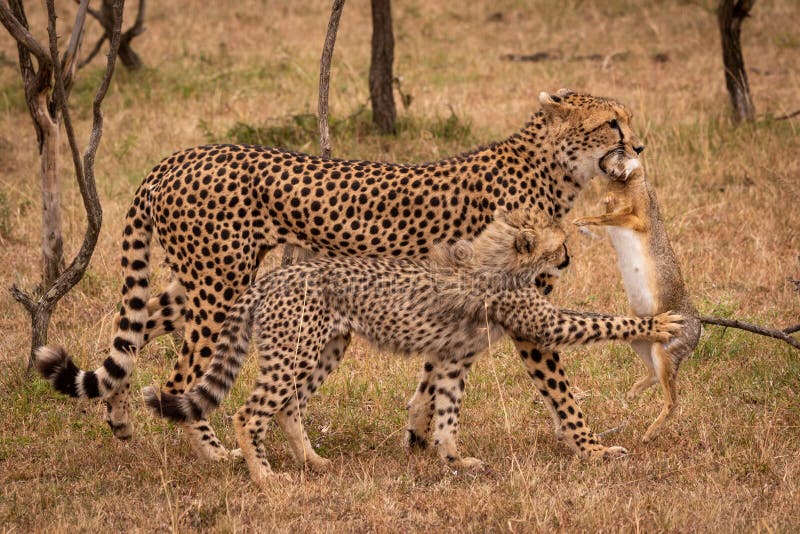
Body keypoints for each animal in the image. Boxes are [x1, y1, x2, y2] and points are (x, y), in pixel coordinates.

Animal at [35, 89, 647, 461]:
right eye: (610, 124)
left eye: (628, 120)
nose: (639, 145)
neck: (551, 168)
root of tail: (180, 157)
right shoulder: (524, 313)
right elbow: (561, 391)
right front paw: (593, 448)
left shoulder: (452, 304)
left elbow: (433, 377)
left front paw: (420, 435)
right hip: (220, 287)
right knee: (180, 377)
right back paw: (214, 453)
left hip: (207, 284)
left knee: (132, 336)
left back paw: (119, 416)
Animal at [142, 208, 683, 486]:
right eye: (560, 243)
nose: (569, 257)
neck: (498, 256)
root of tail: (274, 276)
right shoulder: (540, 321)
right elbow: (600, 321)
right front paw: (658, 323)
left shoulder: (451, 358)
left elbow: (445, 413)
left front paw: (454, 460)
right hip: (292, 351)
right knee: (248, 412)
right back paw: (265, 476)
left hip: (325, 347)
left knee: (289, 406)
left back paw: (313, 462)